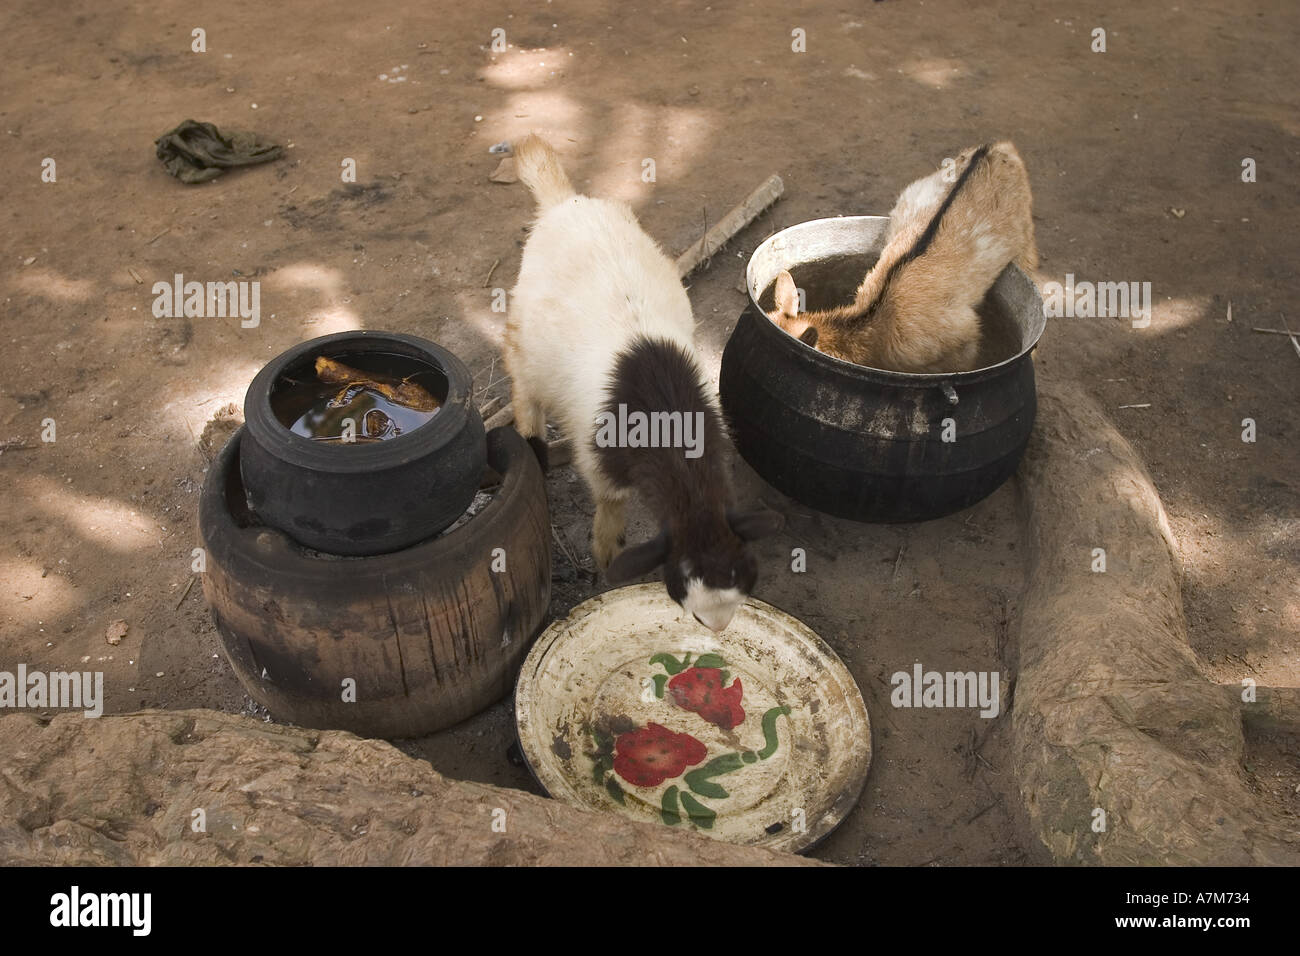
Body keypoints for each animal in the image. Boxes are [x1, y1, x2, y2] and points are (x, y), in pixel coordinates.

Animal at [501, 133, 782, 631]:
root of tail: (564, 202)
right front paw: (605, 553)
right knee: (523, 384)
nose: (717, 627)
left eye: (743, 574)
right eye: (683, 585)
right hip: (524, 335)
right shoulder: (599, 458)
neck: (662, 413)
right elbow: (610, 502)